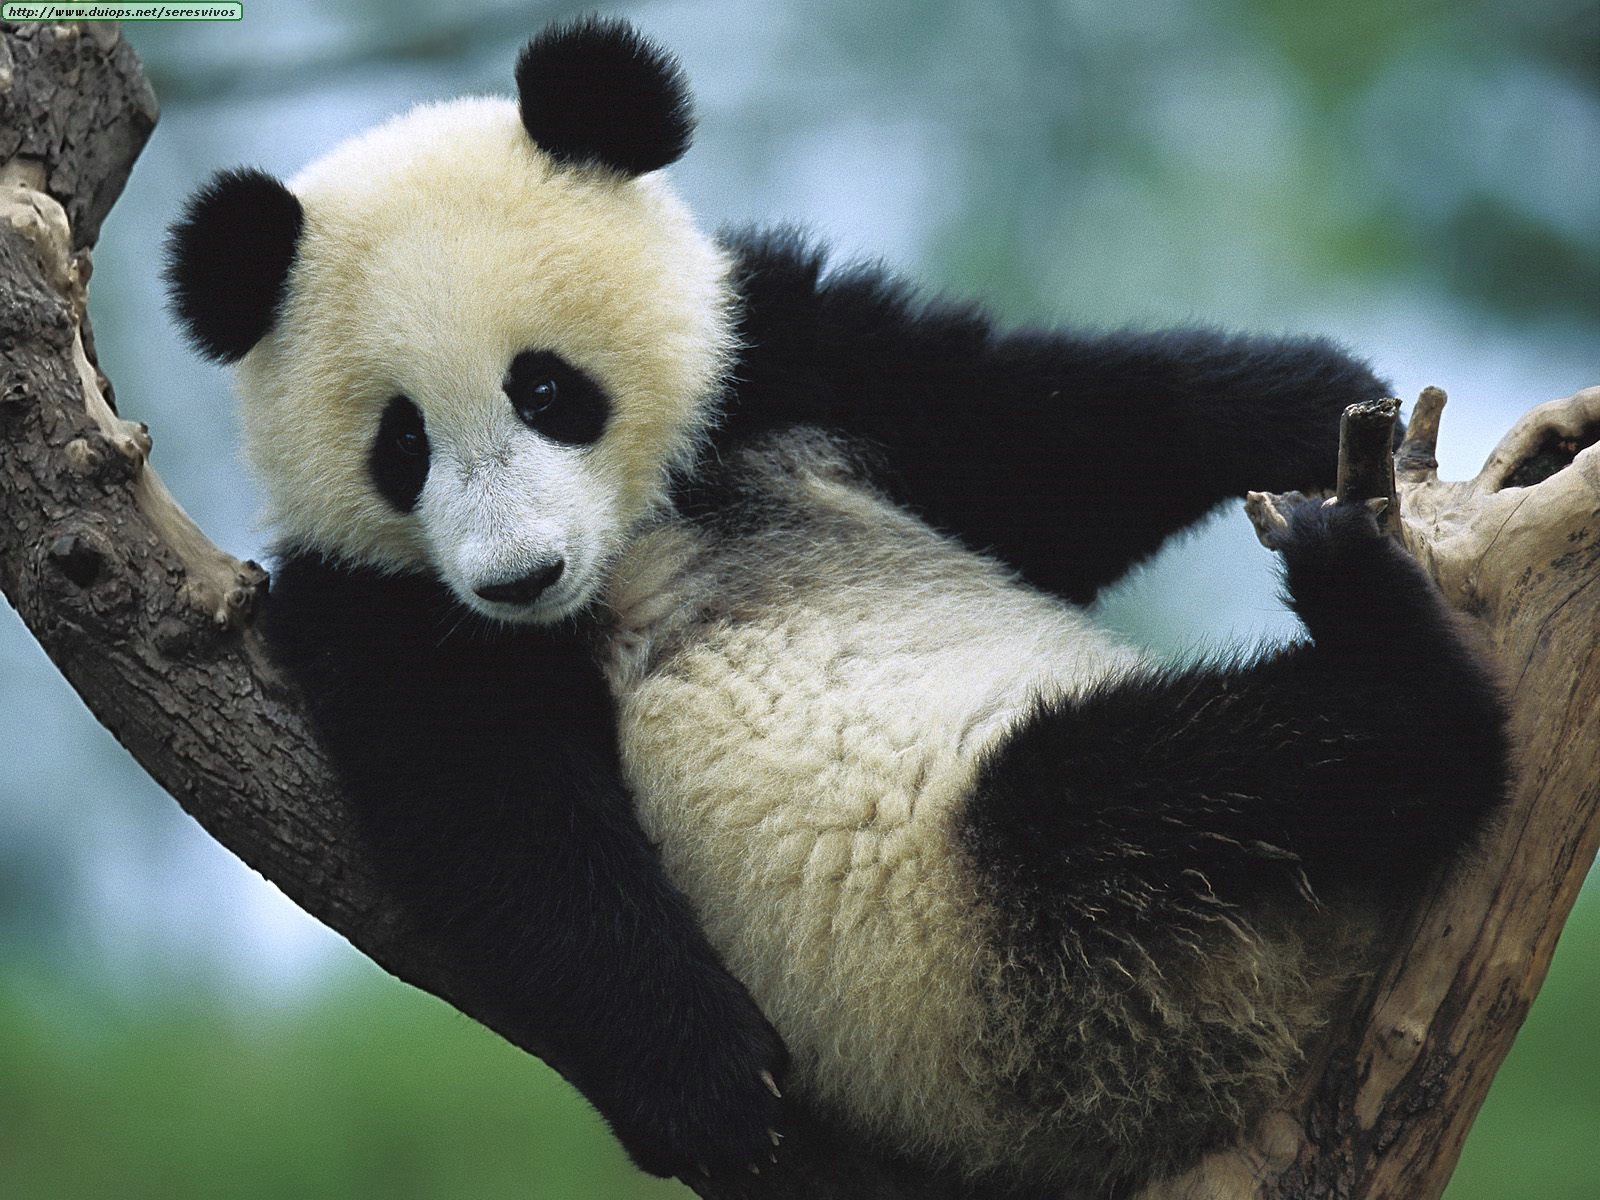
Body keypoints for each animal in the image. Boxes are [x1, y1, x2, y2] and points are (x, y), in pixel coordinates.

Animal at [164, 18, 1511, 1196]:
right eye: (403, 445)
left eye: (545, 389)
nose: (518, 577)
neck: (638, 534)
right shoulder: (381, 606)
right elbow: (499, 816)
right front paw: (705, 1084)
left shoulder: (783, 364)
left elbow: (1040, 440)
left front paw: (1316, 394)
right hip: (1038, 965)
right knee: (1157, 786)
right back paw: (1374, 636)